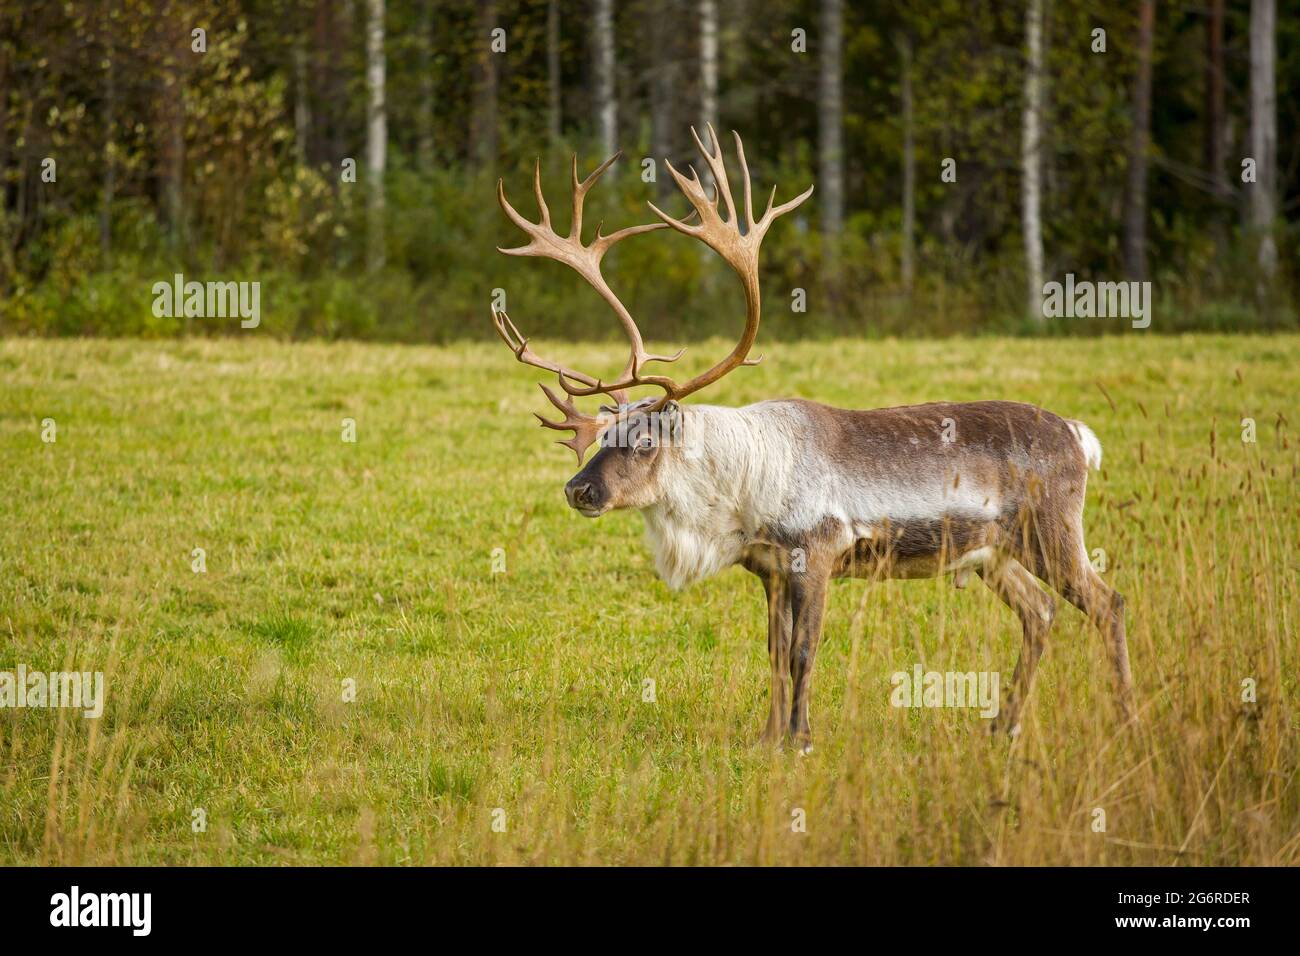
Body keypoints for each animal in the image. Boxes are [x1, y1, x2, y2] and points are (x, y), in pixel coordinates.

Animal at [491, 126, 1136, 753]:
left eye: (645, 440)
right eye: (605, 435)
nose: (579, 490)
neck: (741, 493)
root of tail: (1080, 435)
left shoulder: (820, 553)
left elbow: (805, 650)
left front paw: (800, 740)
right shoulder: (770, 570)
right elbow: (774, 654)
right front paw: (765, 740)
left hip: (1051, 531)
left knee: (1107, 602)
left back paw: (1125, 719)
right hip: (993, 553)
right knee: (1041, 613)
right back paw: (1004, 727)